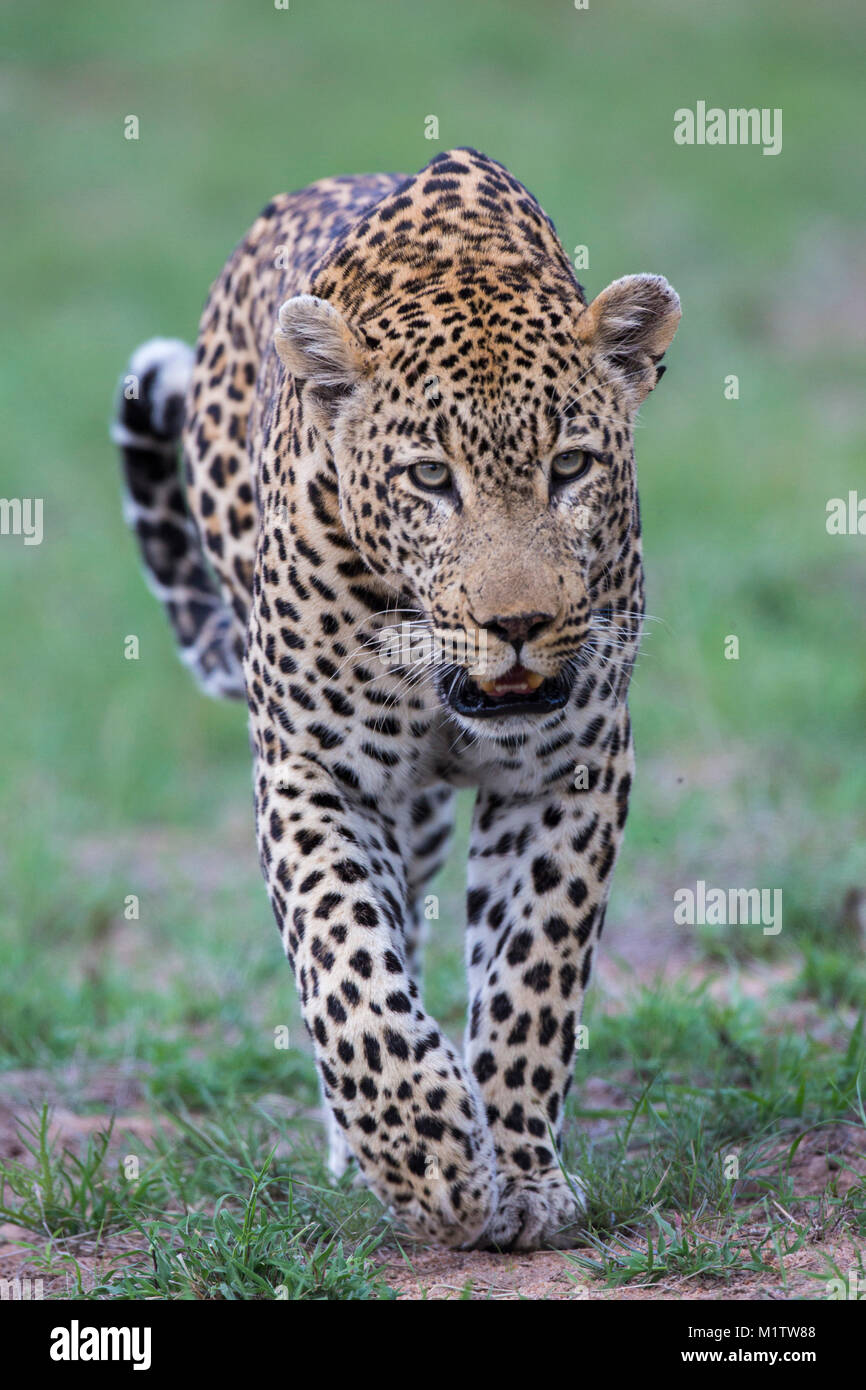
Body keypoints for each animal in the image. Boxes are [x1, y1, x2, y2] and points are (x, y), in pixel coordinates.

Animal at [112, 147, 680, 1250]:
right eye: (429, 478)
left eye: (571, 467)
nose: (518, 622)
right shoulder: (313, 771)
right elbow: (345, 965)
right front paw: (430, 1162)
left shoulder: (570, 773)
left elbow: (529, 978)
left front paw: (521, 1172)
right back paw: (363, 1147)